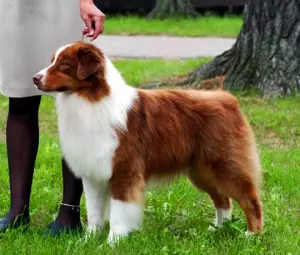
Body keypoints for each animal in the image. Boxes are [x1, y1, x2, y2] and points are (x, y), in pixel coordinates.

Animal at [32, 41, 262, 243]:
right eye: (52, 61)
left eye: (64, 64)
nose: (35, 78)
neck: (90, 99)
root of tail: (227, 99)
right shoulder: (93, 172)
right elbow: (94, 212)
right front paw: (88, 240)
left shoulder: (125, 169)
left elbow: (119, 211)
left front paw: (113, 241)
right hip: (201, 171)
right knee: (223, 200)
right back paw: (219, 228)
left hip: (224, 165)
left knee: (249, 199)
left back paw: (252, 235)